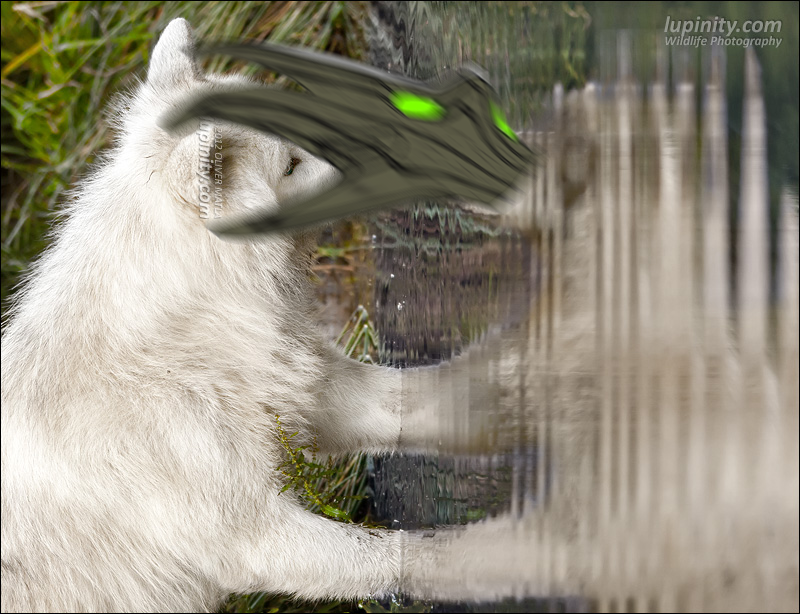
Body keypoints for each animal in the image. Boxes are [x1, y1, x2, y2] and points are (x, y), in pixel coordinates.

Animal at [1, 18, 517, 613]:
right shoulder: (256, 534)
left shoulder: (321, 397)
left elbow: (451, 389)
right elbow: (400, 553)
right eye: (290, 165)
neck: (176, 349)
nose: (390, 141)